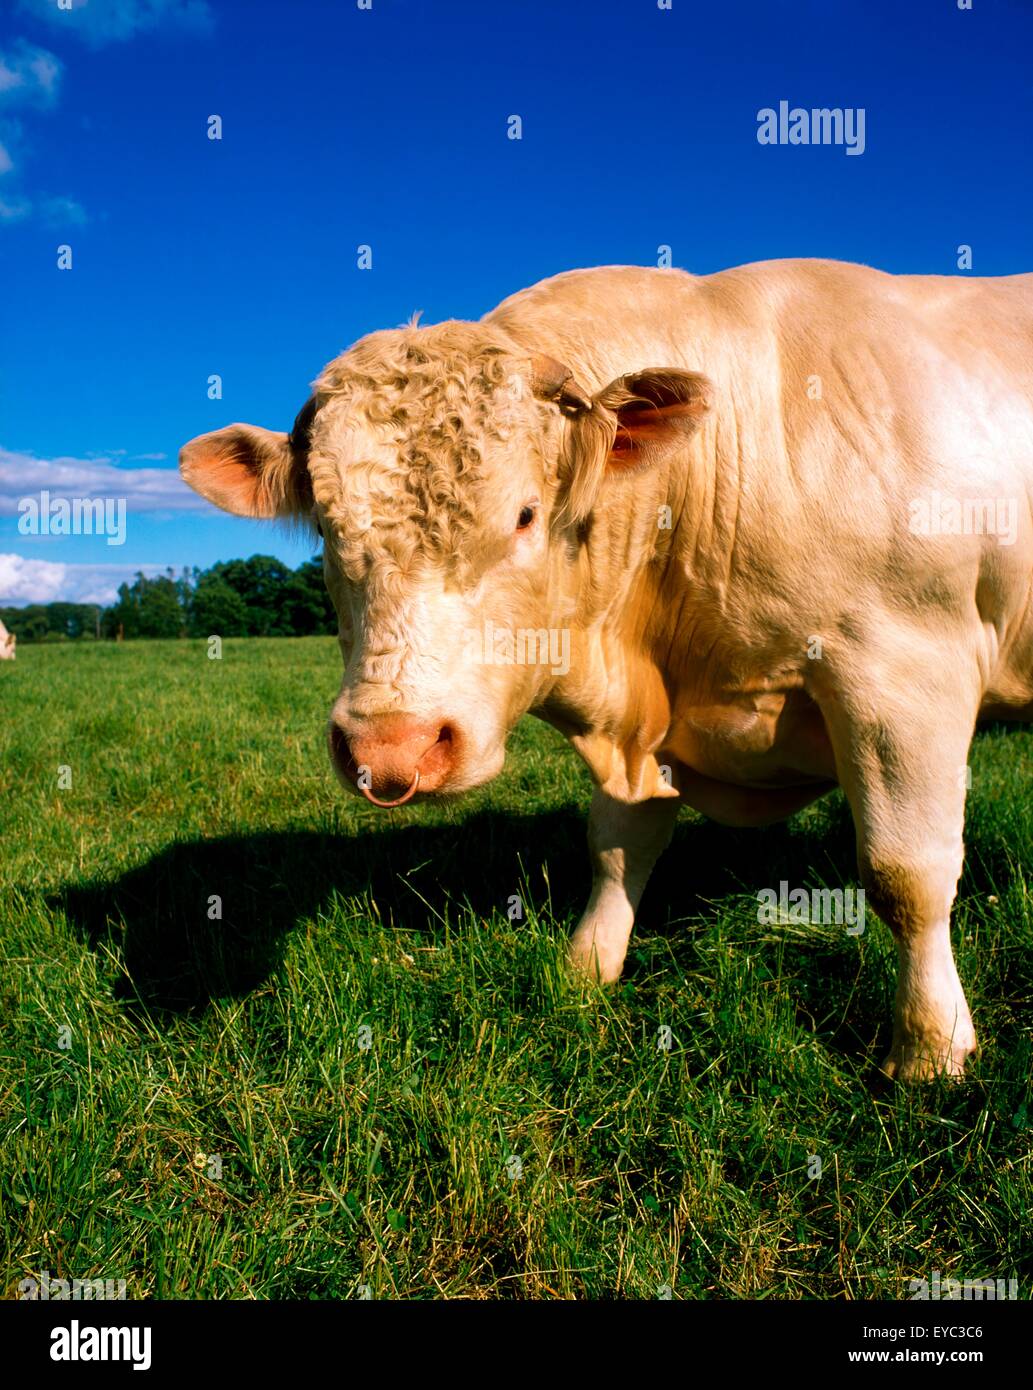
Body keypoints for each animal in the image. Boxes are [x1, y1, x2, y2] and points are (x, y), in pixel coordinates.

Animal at [179, 259, 1033, 1081]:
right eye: (327, 526)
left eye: (525, 514)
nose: (389, 749)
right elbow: (620, 844)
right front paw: (587, 967)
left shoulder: (903, 670)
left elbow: (905, 874)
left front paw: (928, 1048)